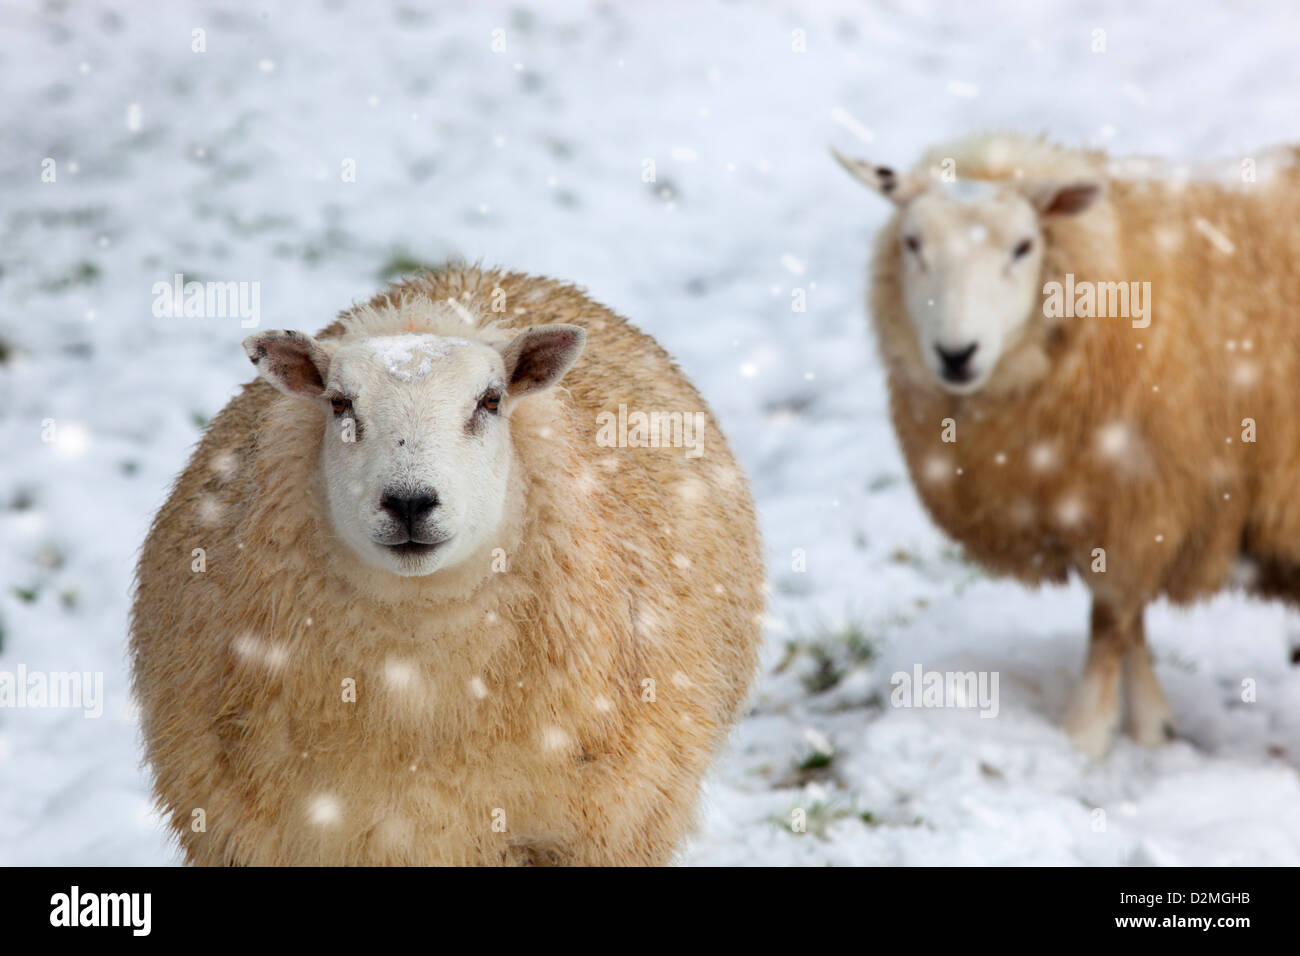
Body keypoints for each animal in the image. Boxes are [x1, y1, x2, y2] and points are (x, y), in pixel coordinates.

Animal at [834, 132, 1300, 757]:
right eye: (912, 243)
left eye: (1024, 246)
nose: (957, 354)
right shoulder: (1121, 504)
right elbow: (1130, 623)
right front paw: (1151, 727)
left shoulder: (1140, 497)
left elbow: (1109, 621)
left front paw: (1084, 734)